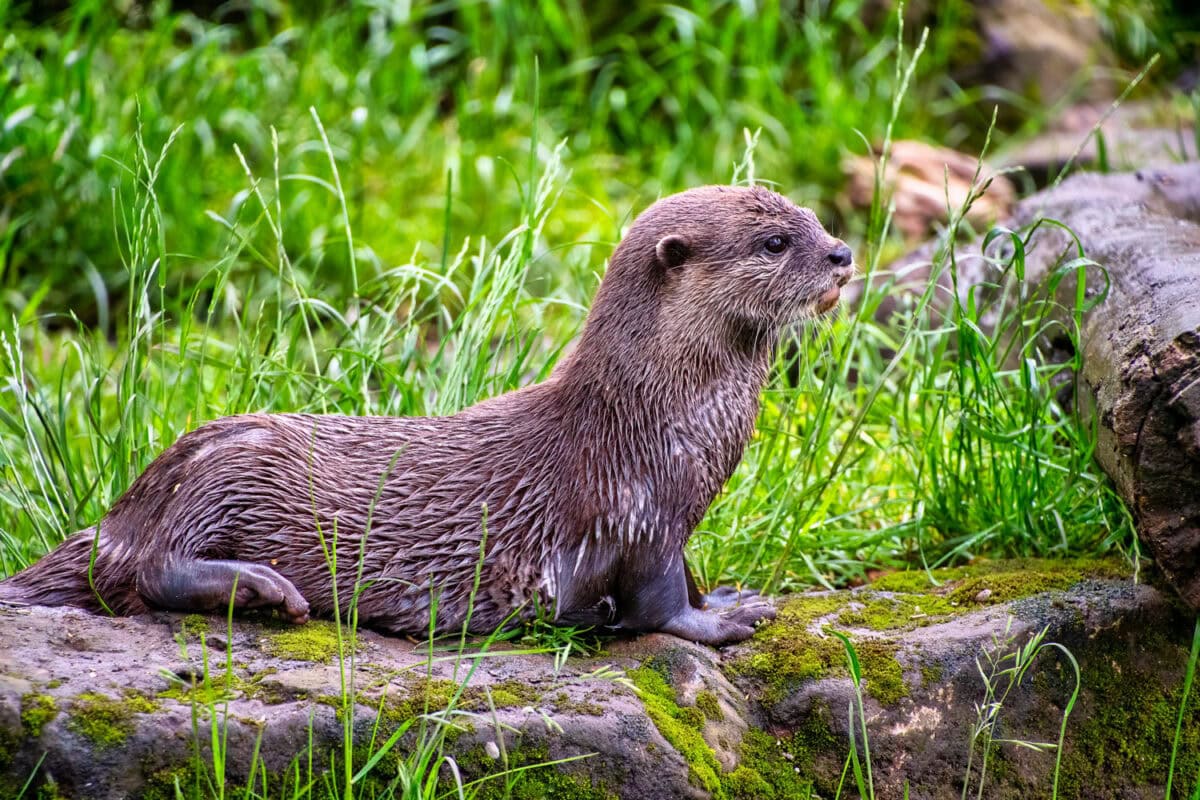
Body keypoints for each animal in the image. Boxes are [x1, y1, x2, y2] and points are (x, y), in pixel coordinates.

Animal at [0, 185, 854, 646]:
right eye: (776, 241)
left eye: (814, 217)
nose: (843, 254)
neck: (659, 409)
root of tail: (132, 502)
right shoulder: (639, 508)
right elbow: (659, 603)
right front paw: (715, 625)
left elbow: (691, 578)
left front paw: (726, 599)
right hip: (231, 472)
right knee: (144, 570)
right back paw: (266, 591)